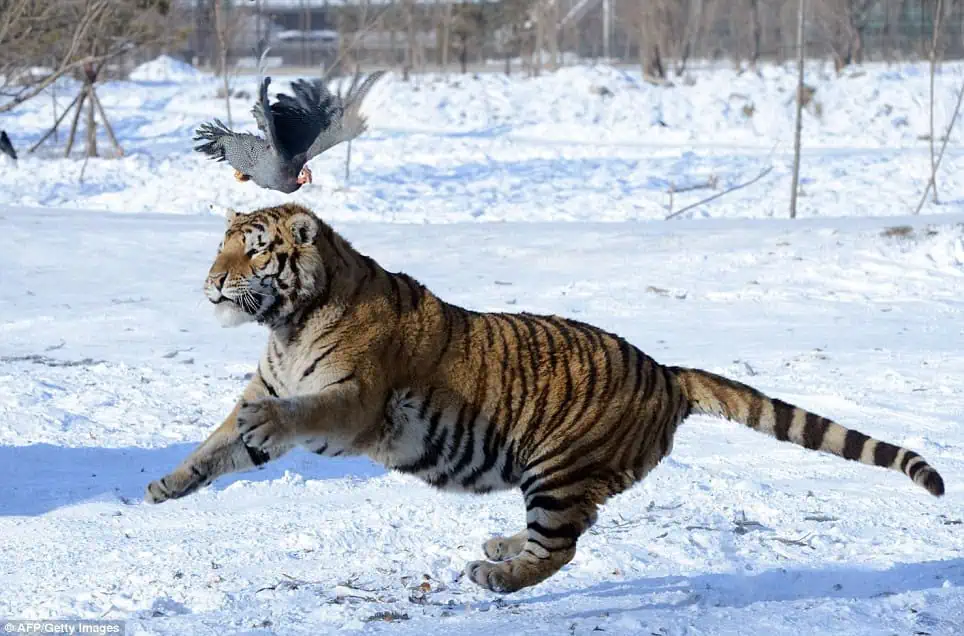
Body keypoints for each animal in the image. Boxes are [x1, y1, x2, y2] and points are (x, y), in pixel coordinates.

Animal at [146, 202, 945, 594]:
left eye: (252, 249)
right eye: (221, 246)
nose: (210, 284)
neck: (286, 324)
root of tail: (666, 371)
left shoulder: (354, 401)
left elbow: (292, 413)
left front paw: (262, 423)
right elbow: (216, 446)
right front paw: (166, 484)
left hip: (560, 468)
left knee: (562, 547)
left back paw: (498, 576)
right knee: (553, 539)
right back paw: (500, 547)